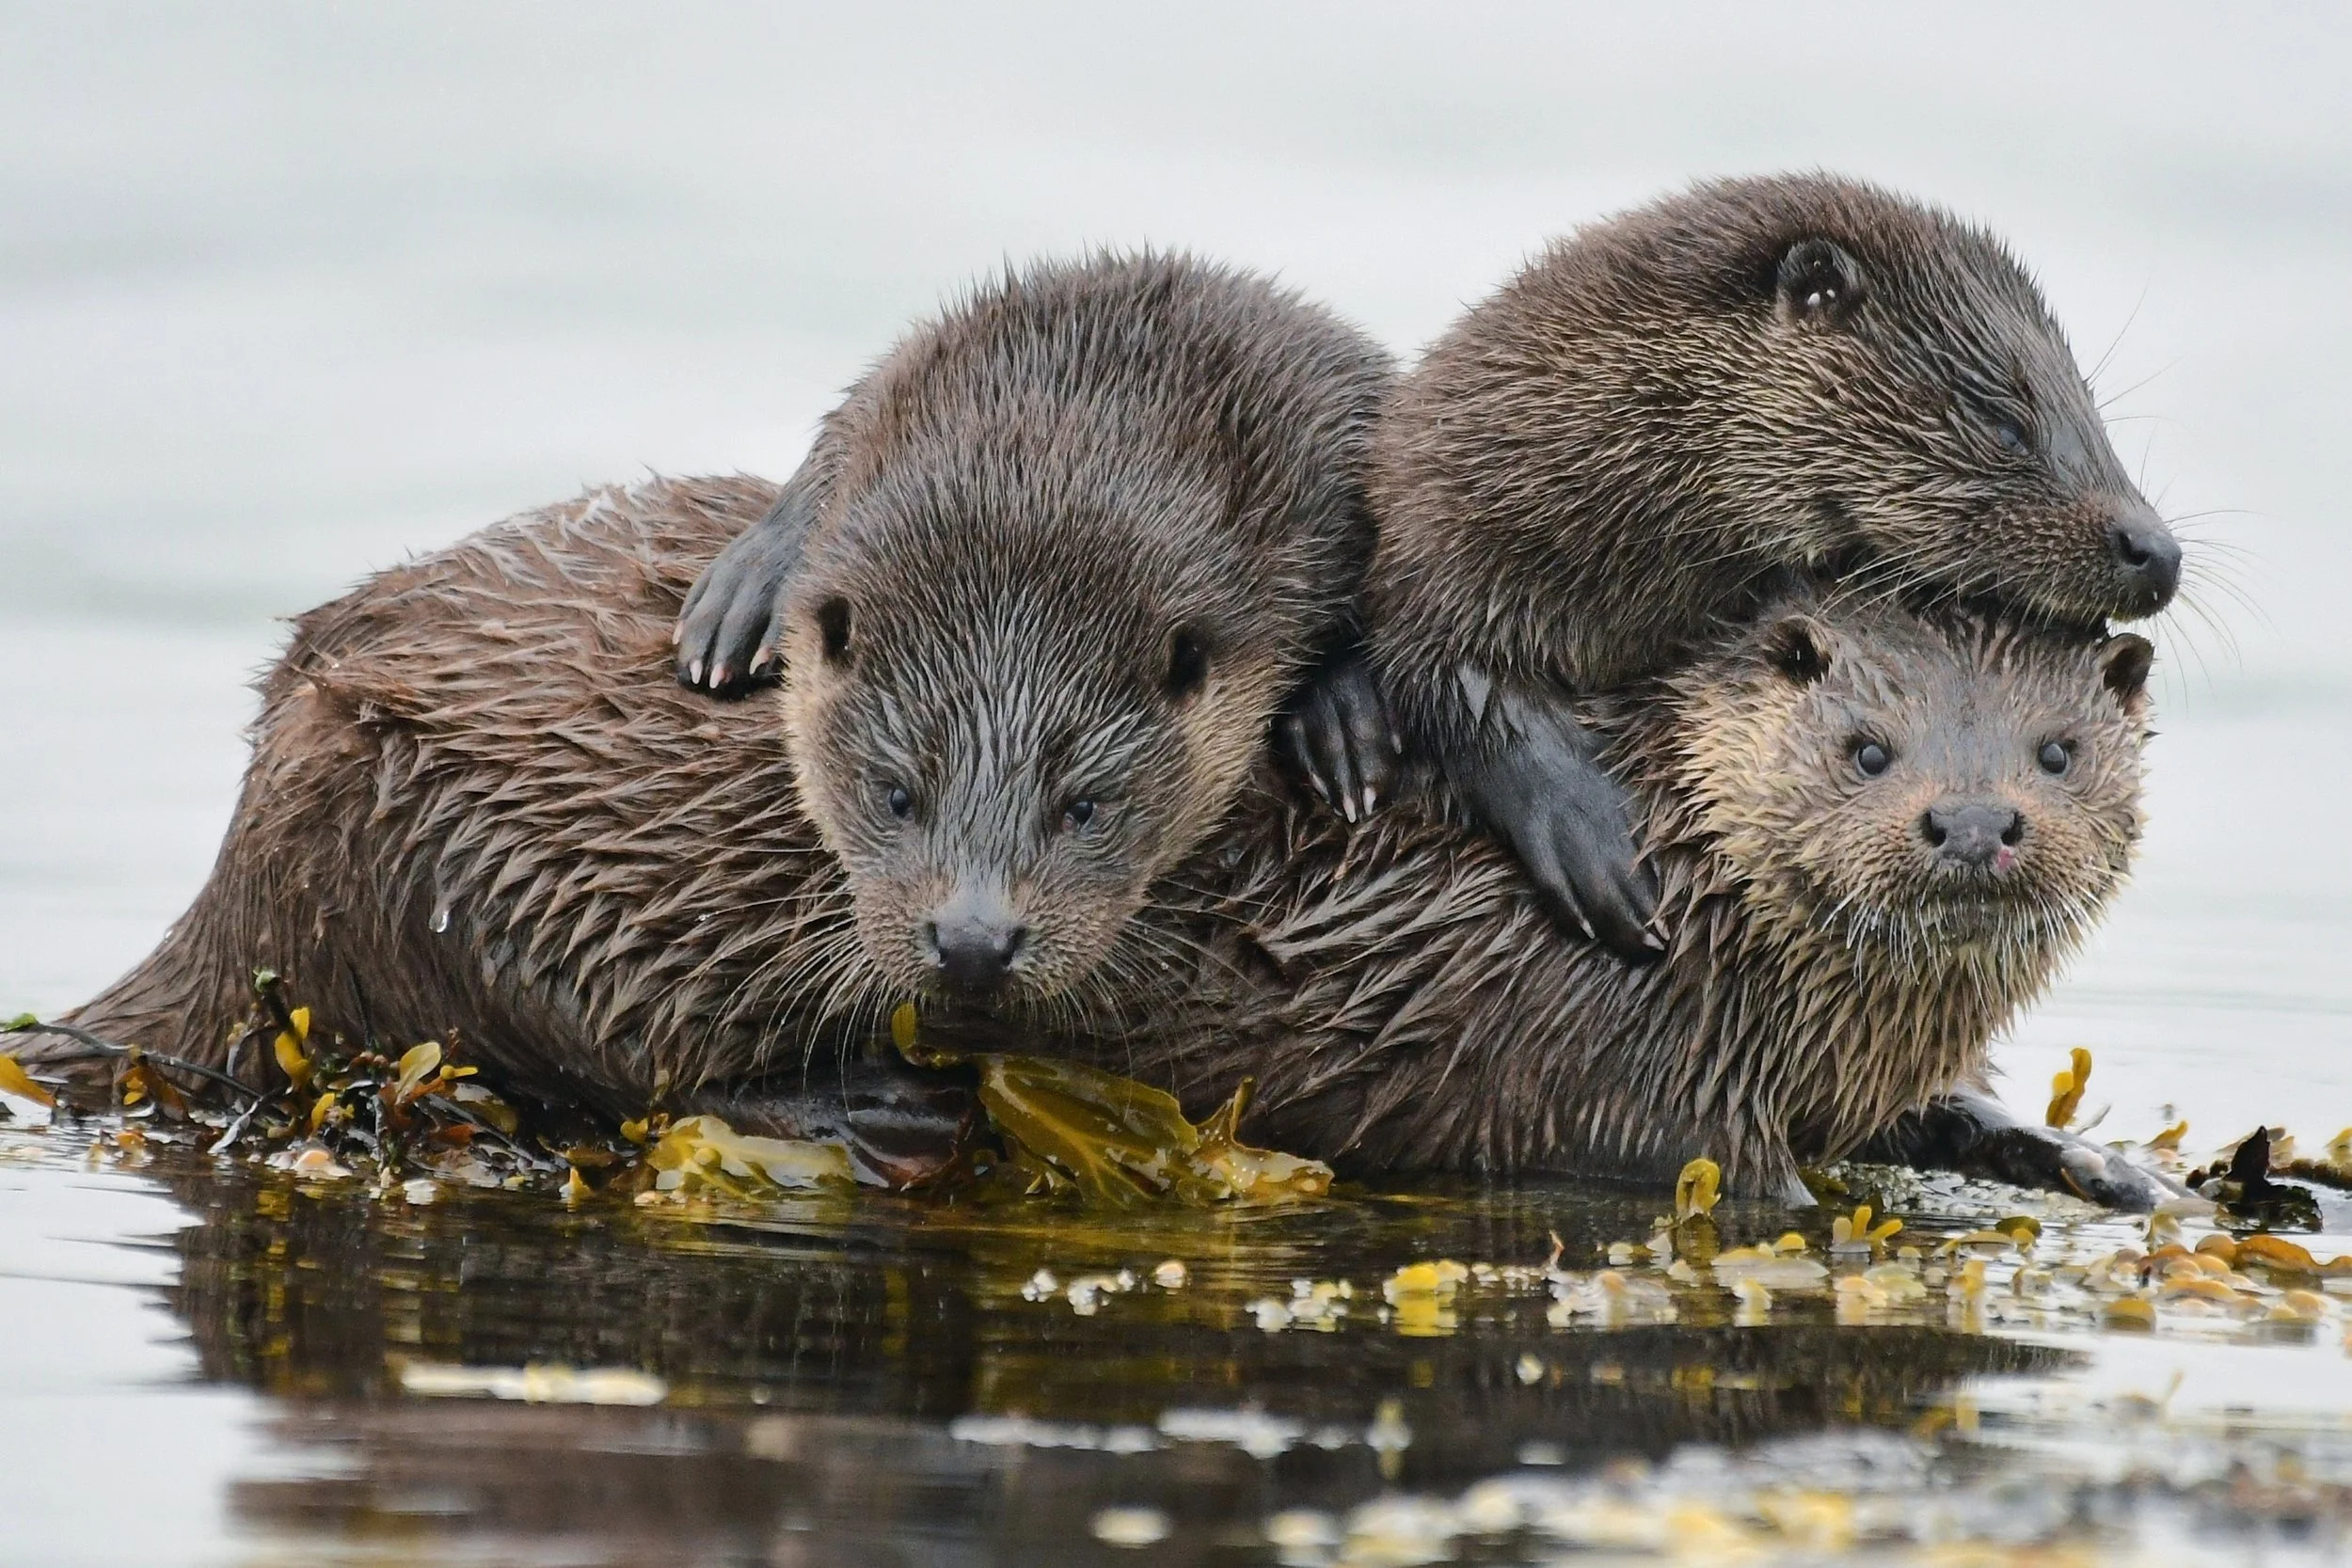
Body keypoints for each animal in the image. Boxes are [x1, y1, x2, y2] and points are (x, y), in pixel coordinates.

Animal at [22, 479, 2163, 1205]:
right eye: (1866, 737)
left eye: (2058, 744)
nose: (1973, 816)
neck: (1694, 913)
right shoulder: (1618, 1054)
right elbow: (1695, 1168)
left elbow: (1935, 1117)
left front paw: (2064, 1149)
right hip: (456, 844)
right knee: (555, 1056)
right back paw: (853, 1097)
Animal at [1360, 174, 2183, 959]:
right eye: (2006, 424)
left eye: (2094, 414)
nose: (2159, 552)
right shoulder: (1439, 551)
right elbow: (1452, 681)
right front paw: (1590, 840)